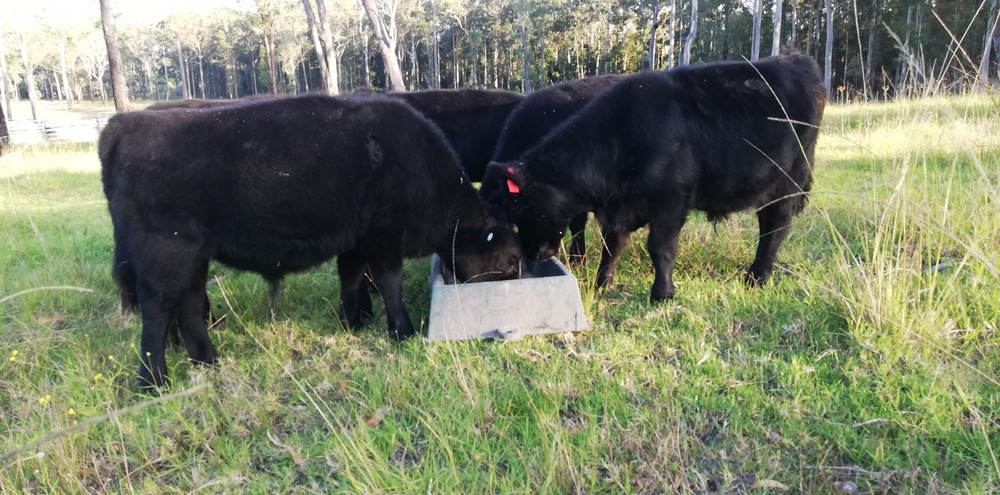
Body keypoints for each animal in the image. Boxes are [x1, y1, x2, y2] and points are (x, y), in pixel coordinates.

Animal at [100, 94, 522, 390]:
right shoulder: (384, 237)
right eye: (511, 260)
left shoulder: (356, 240)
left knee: (188, 308)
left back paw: (207, 362)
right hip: (165, 256)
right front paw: (401, 330)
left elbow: (350, 277)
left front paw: (352, 321)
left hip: (193, 259)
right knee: (158, 311)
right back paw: (153, 381)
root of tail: (123, 124)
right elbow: (390, 282)